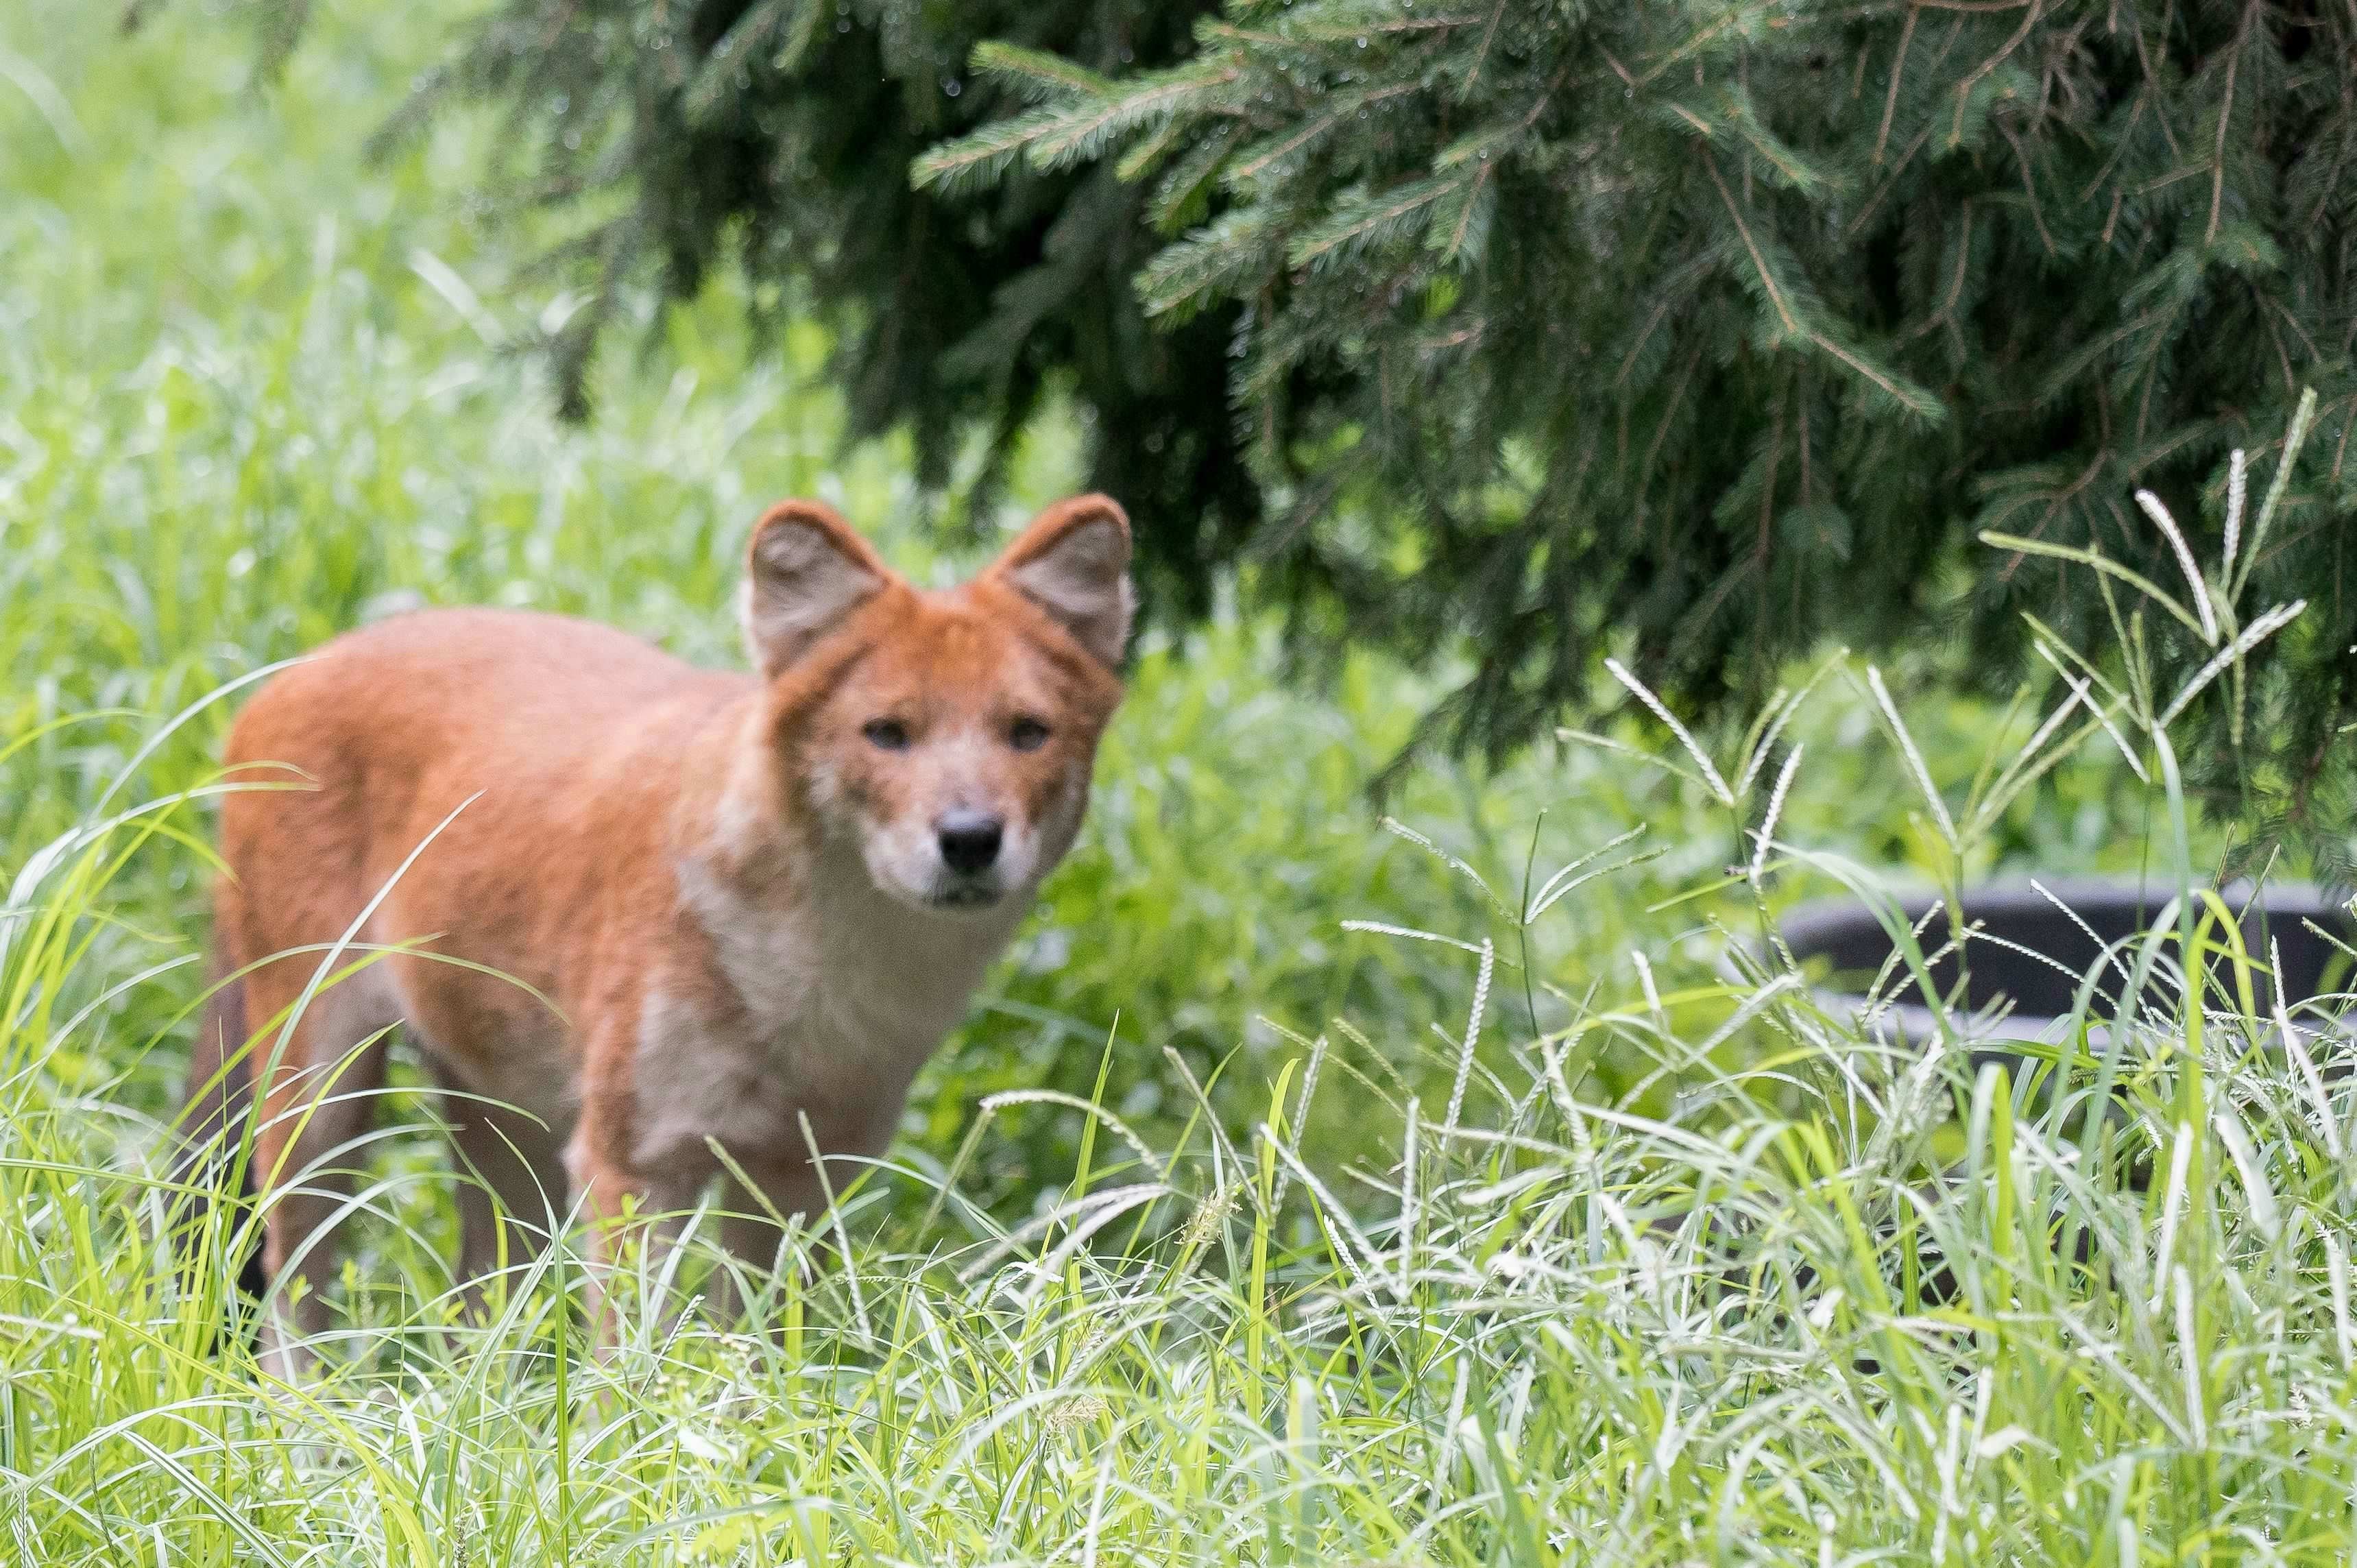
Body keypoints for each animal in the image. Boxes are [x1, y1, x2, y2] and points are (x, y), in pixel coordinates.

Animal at [178, 494, 1132, 1371]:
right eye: (887, 733)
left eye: (1027, 733)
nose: (969, 838)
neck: (815, 989)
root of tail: (288, 672)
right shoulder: (636, 1167)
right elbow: (630, 1376)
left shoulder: (799, 1179)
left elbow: (758, 1368)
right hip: (322, 1095)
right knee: (291, 1285)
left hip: (513, 1138)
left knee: (476, 1317)